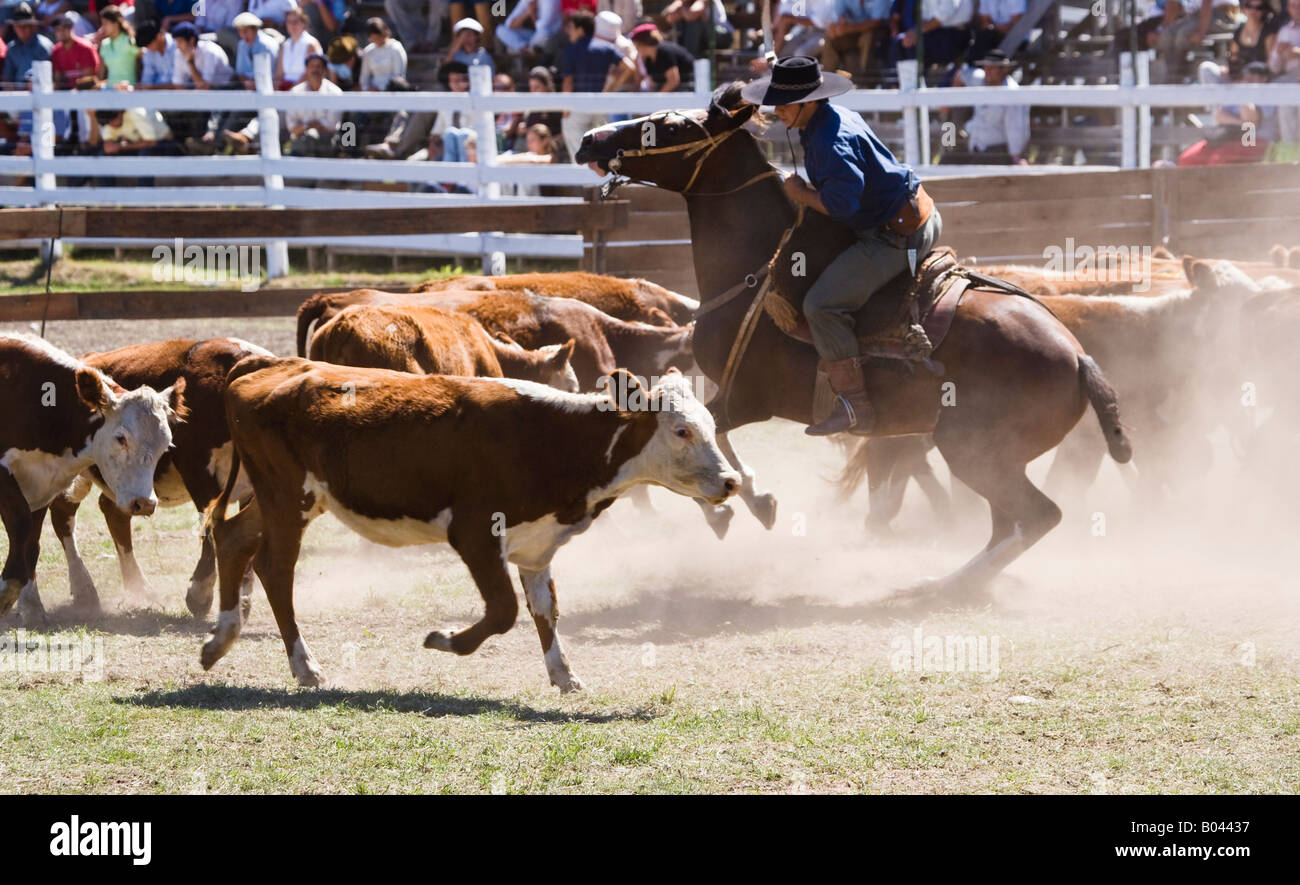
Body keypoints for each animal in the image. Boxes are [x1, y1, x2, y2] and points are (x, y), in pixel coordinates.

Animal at [1, 334, 185, 626]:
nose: (144, 503)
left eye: (165, 444)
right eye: (121, 437)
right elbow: (22, 526)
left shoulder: (40, 484)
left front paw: (31, 606)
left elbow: (31, 541)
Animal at [46, 338, 271, 619]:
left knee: (113, 511)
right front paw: (200, 594)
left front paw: (240, 598)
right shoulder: (197, 470)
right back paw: (85, 589)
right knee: (63, 512)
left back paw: (139, 588)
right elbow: (210, 525)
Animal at [200, 357, 739, 691]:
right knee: (274, 569)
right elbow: (503, 610)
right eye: (681, 430)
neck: (554, 437)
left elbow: (545, 609)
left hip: (286, 498)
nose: (732, 481)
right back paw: (304, 665)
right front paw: (446, 640)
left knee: (232, 538)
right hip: (287, 497)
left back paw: (219, 641)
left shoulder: (537, 544)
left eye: (711, 425)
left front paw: (563, 674)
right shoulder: (477, 534)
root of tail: (272, 366)